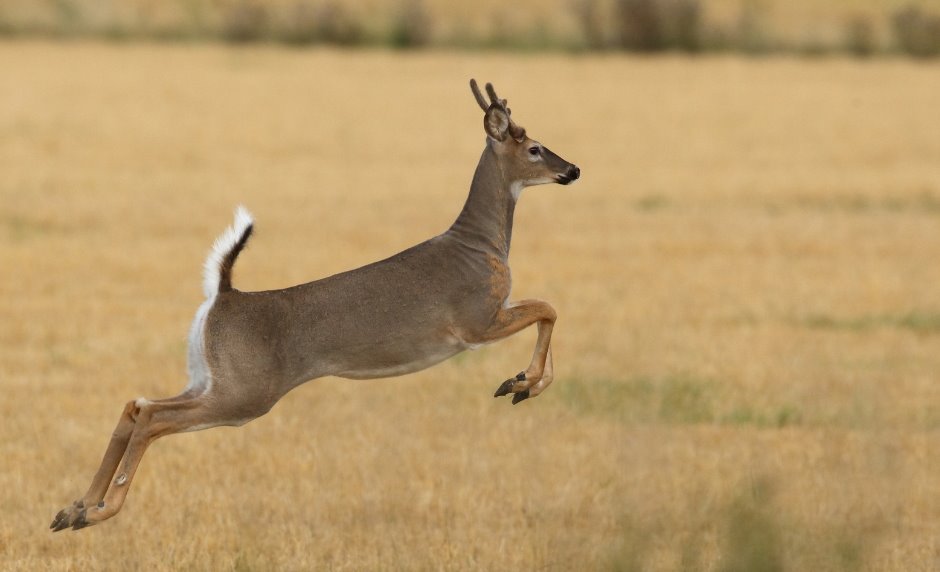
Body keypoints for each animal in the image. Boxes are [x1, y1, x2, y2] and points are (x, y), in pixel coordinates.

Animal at [50, 79, 580, 531]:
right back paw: (98, 511)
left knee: (136, 405)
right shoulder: (475, 322)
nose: (572, 169)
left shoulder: (488, 318)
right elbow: (548, 307)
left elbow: (547, 311)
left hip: (209, 378)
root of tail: (222, 294)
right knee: (152, 419)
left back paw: (73, 509)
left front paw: (522, 384)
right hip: (245, 392)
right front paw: (520, 383)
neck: (480, 245)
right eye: (534, 148)